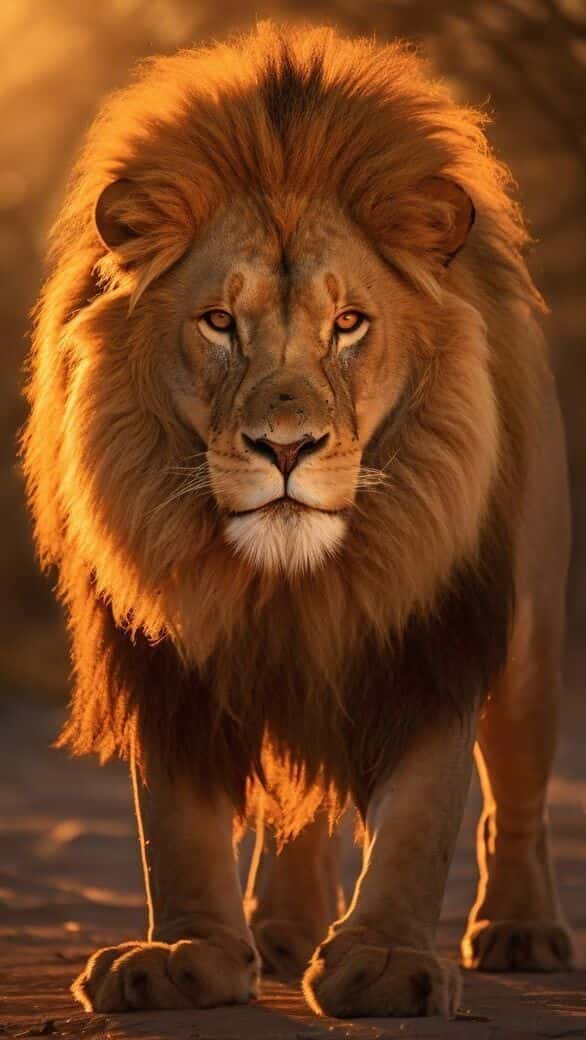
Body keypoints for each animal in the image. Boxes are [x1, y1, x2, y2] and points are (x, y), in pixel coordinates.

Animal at [22, 22, 575, 1019]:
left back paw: (520, 930)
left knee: (515, 791)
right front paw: (187, 953)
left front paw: (389, 960)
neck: (291, 580)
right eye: (217, 322)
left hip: (532, 635)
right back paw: (281, 931)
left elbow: (424, 813)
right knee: (299, 806)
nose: (287, 446)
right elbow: (174, 821)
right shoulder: (167, 641)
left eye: (349, 322)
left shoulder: (431, 630)